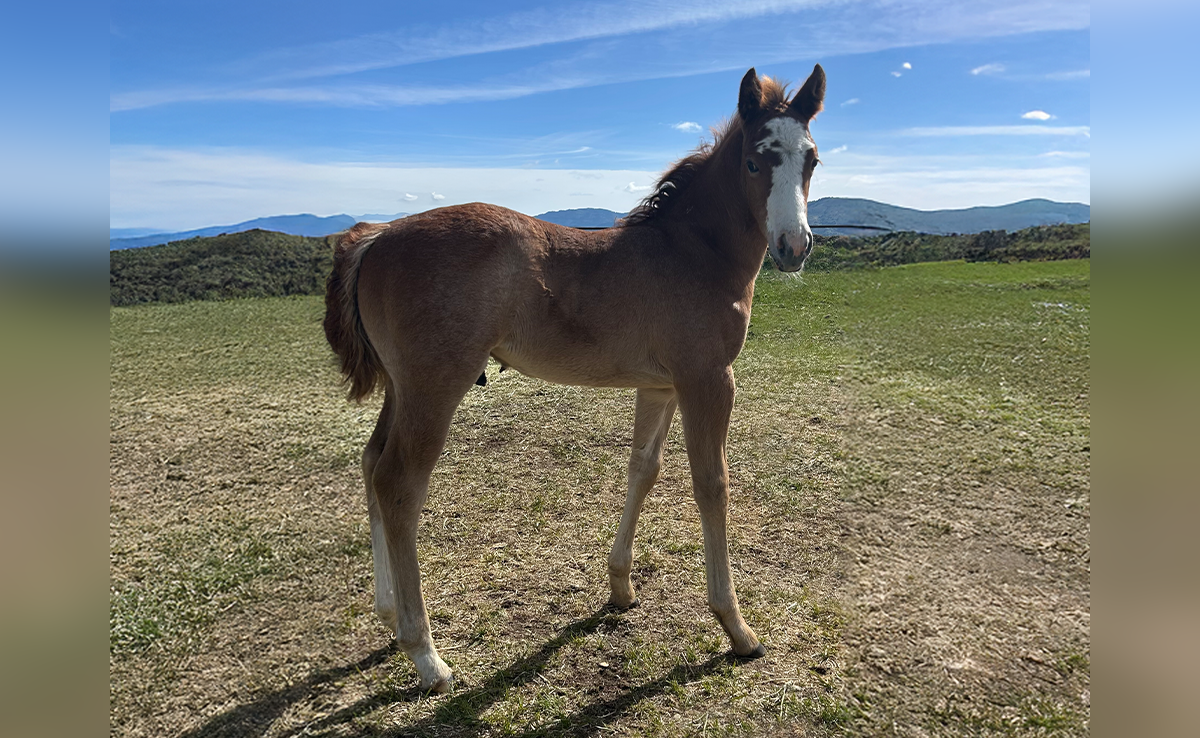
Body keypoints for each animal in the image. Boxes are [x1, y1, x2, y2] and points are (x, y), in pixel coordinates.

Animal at [324, 65, 826, 692]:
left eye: (812, 160)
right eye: (756, 162)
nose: (794, 246)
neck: (690, 252)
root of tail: (378, 234)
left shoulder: (660, 385)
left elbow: (643, 470)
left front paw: (620, 588)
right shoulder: (709, 379)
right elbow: (712, 485)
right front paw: (737, 629)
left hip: (401, 386)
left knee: (371, 462)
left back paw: (389, 614)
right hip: (434, 385)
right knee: (398, 483)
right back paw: (427, 657)